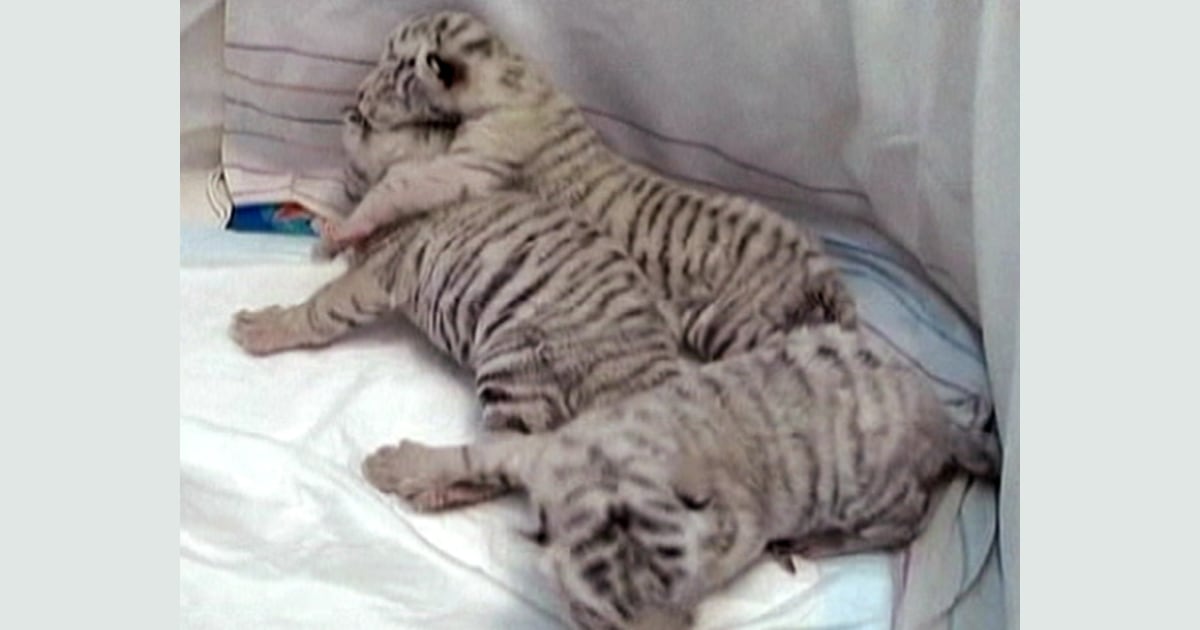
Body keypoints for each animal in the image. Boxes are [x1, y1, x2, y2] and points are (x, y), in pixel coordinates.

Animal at [318, 9, 859, 363]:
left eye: (394, 66)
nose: (357, 93)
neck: (516, 72)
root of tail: (815, 260)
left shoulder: (471, 162)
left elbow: (401, 185)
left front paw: (345, 228)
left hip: (728, 318)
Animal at [362, 322, 1001, 630]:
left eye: (688, 607)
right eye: (599, 621)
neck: (612, 473)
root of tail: (942, 418)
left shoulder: (742, 528)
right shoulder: (539, 454)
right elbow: (477, 454)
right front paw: (396, 464)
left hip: (873, 488)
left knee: (905, 521)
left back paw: (818, 540)